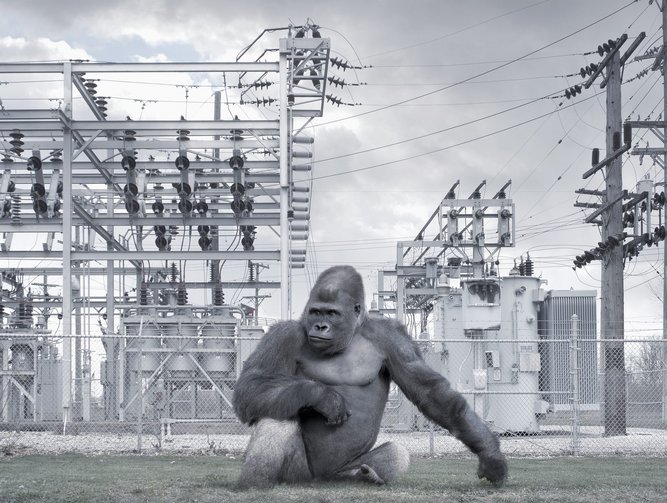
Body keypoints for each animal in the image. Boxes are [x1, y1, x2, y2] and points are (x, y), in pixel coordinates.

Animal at [232, 265, 507, 489]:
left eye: (331, 314)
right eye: (316, 312)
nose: (320, 326)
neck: (350, 334)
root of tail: (323, 480)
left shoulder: (393, 338)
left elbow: (430, 394)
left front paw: (489, 453)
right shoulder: (282, 334)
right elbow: (250, 386)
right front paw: (323, 397)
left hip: (344, 471)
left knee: (395, 452)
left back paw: (367, 475)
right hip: (300, 475)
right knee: (277, 413)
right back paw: (256, 484)